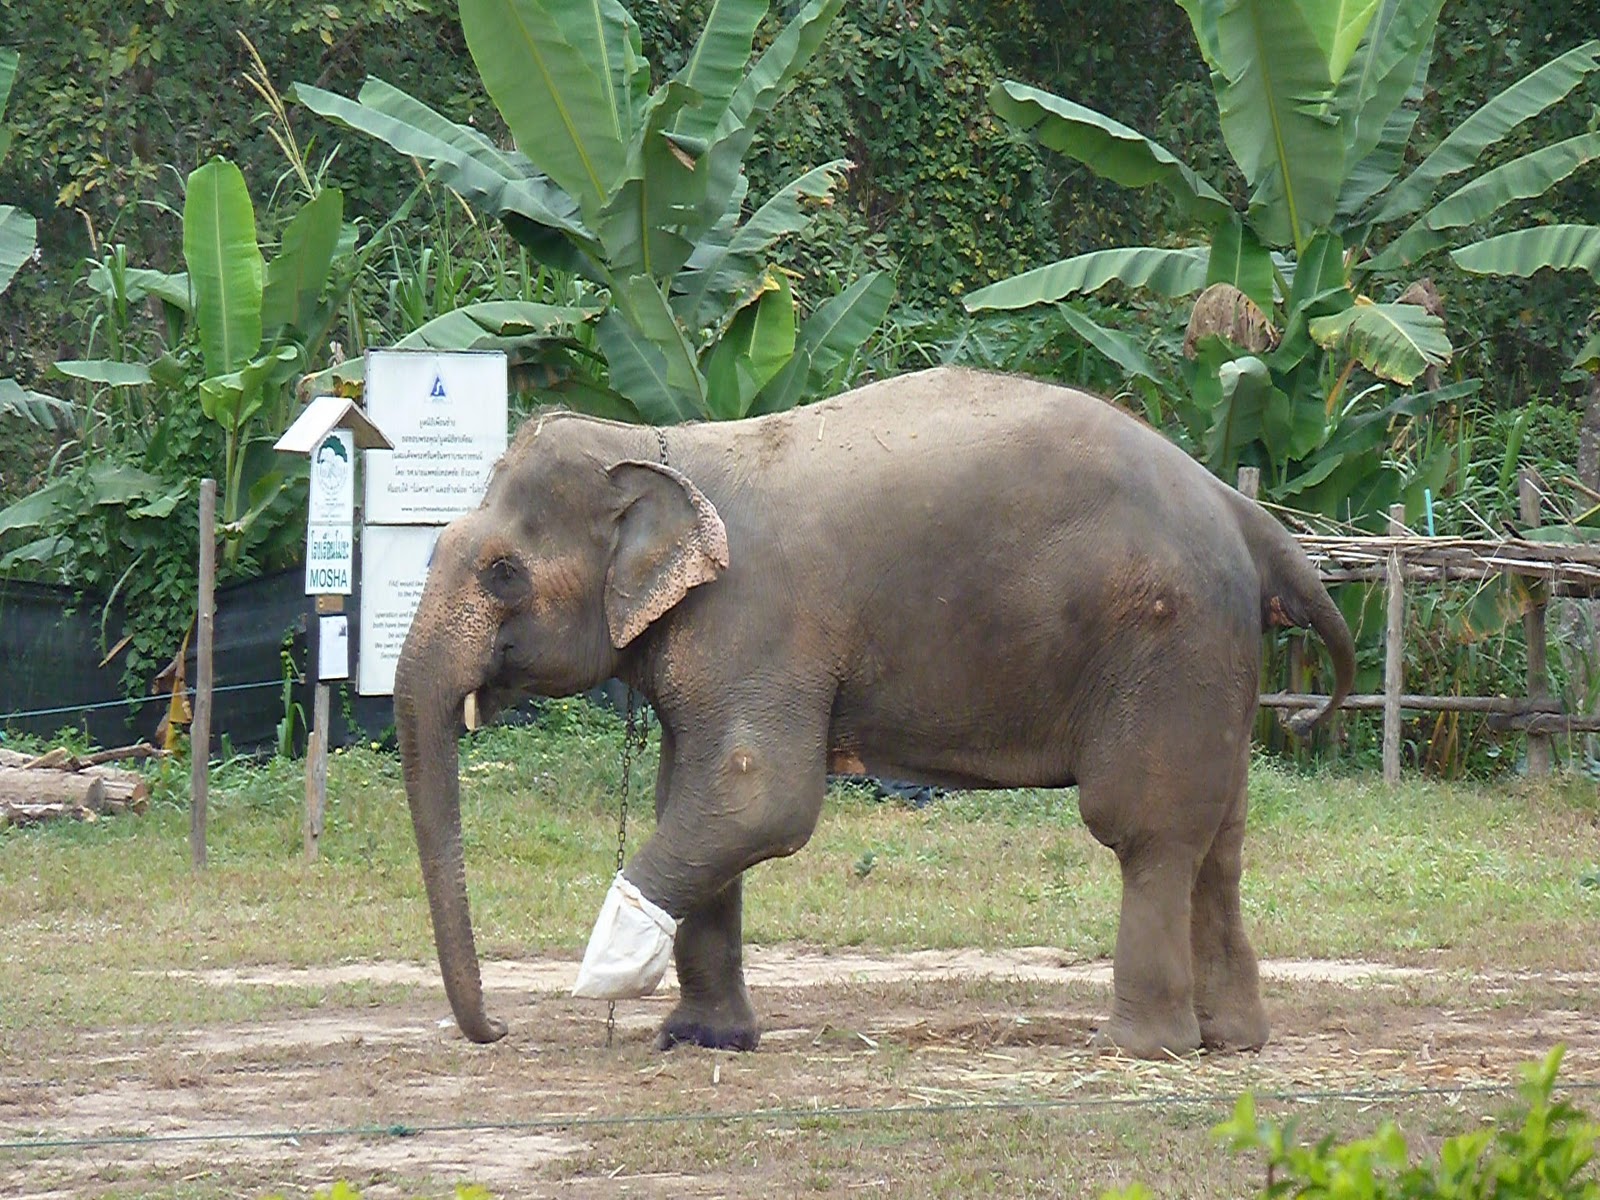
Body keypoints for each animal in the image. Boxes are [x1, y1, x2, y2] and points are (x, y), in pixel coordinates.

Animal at [393, 366, 1353, 1059]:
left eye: (503, 574)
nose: (497, 1030)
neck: (660, 448)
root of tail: (1245, 512)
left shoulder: (758, 622)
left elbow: (758, 800)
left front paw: (602, 979)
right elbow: (691, 800)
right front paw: (701, 1040)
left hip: (1164, 641)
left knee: (1145, 829)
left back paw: (1136, 1048)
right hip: (1211, 655)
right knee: (1217, 838)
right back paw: (1232, 1042)